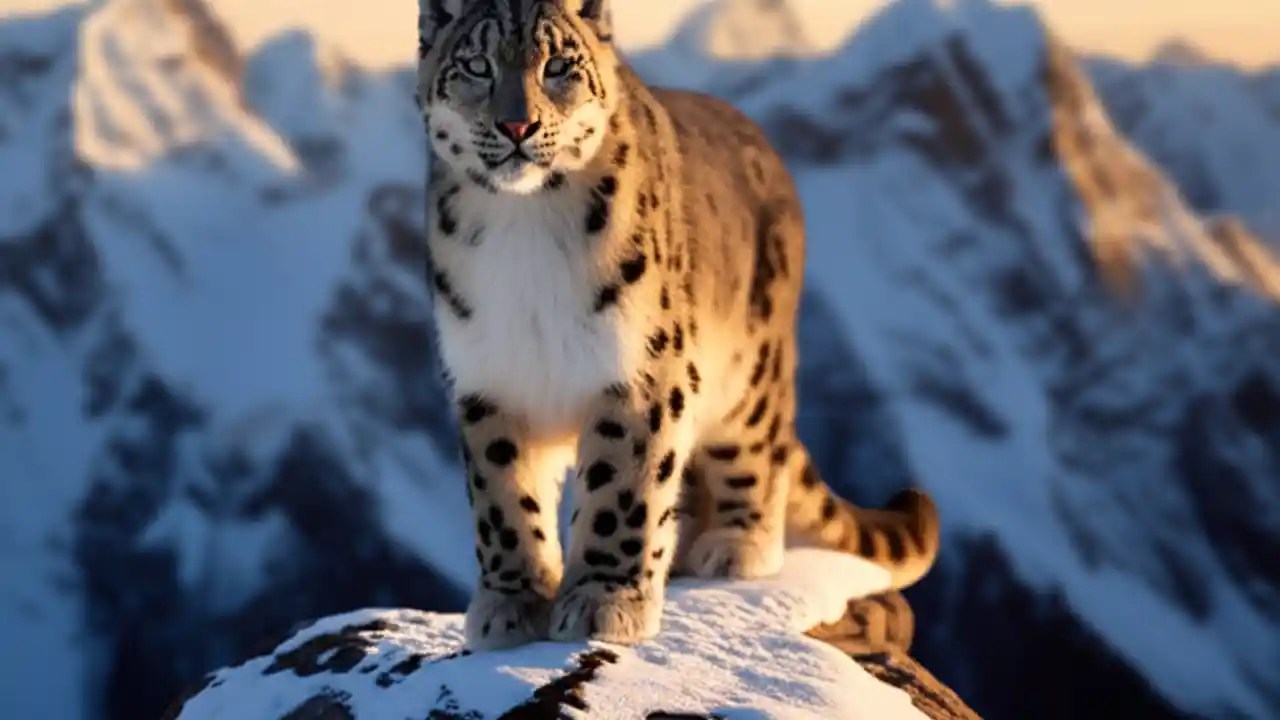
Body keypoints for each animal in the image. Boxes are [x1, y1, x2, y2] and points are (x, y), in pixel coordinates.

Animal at [415, 0, 941, 651]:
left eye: (559, 66)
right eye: (476, 65)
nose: (518, 126)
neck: (523, 227)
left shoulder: (641, 368)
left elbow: (623, 486)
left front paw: (603, 600)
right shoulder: (489, 379)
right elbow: (503, 494)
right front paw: (511, 604)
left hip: (748, 375)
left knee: (757, 451)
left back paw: (734, 544)